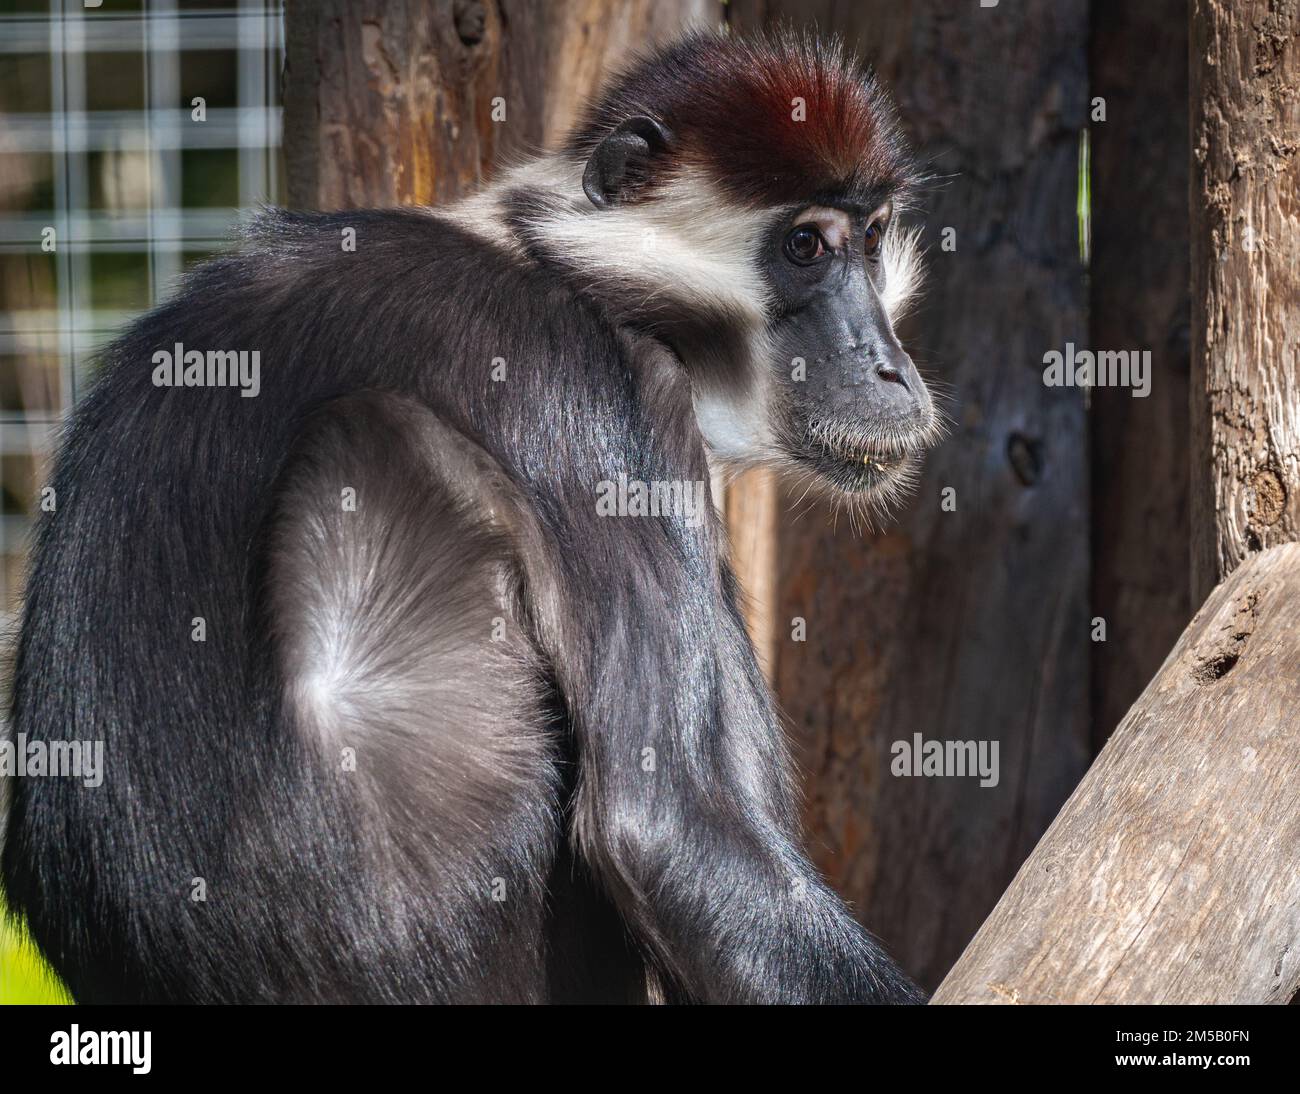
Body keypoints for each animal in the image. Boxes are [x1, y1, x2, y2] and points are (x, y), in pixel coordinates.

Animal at [1, 29, 941, 1004]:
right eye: (805, 247)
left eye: (872, 241)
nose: (888, 369)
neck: (551, 256)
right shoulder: (600, 390)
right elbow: (673, 827)